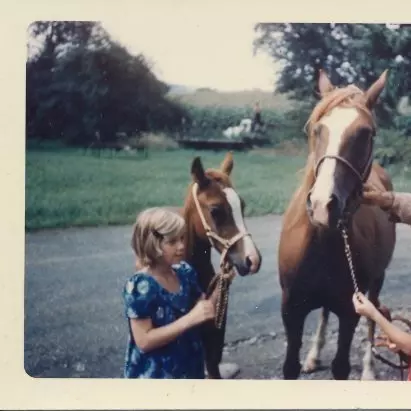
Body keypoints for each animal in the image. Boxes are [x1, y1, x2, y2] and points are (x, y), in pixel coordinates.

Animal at [278, 69, 398, 382]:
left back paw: (368, 370)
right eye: (318, 129)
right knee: (323, 314)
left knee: (374, 315)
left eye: (367, 133)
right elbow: (290, 366)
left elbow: (342, 365)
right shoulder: (290, 311)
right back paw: (313, 354)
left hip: (376, 281)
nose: (323, 205)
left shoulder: (349, 311)